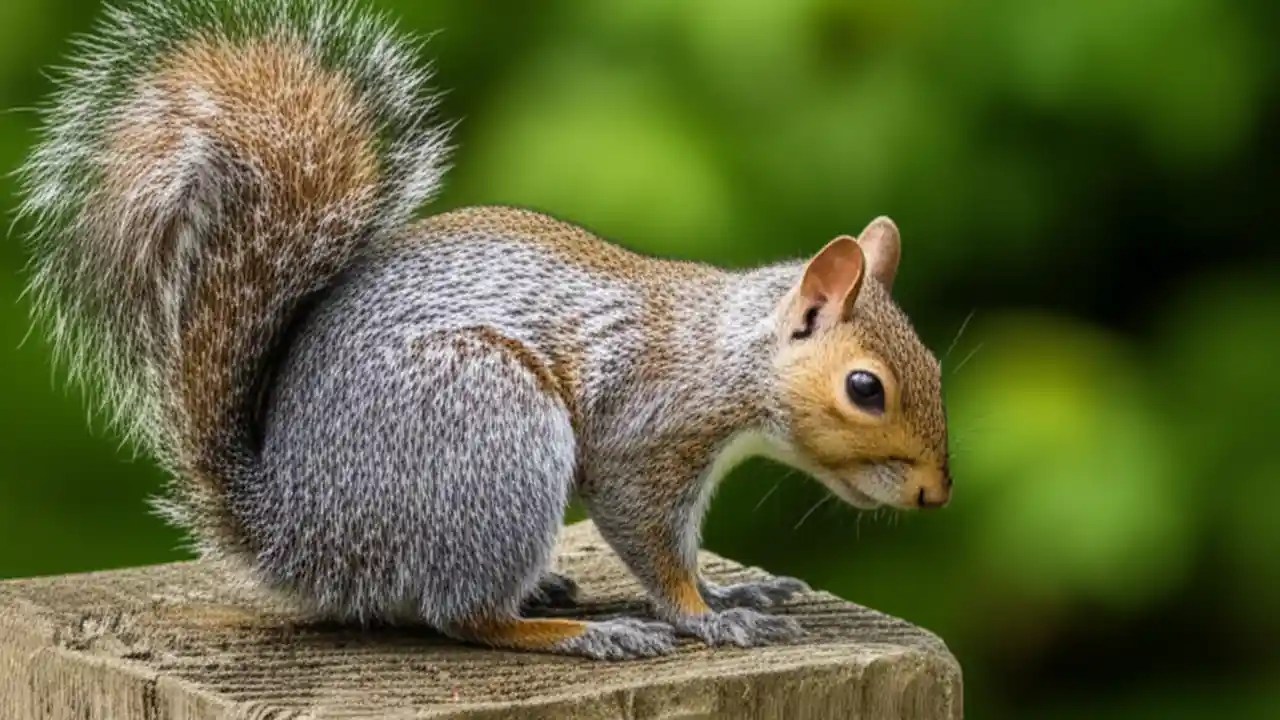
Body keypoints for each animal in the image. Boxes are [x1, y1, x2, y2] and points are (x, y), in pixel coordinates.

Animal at [17, 0, 951, 660]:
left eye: (936, 369)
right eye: (864, 388)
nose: (935, 494)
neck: (727, 351)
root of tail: (300, 530)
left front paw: (733, 597)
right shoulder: (646, 434)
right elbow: (653, 543)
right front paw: (705, 617)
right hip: (493, 430)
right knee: (461, 616)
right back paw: (581, 633)